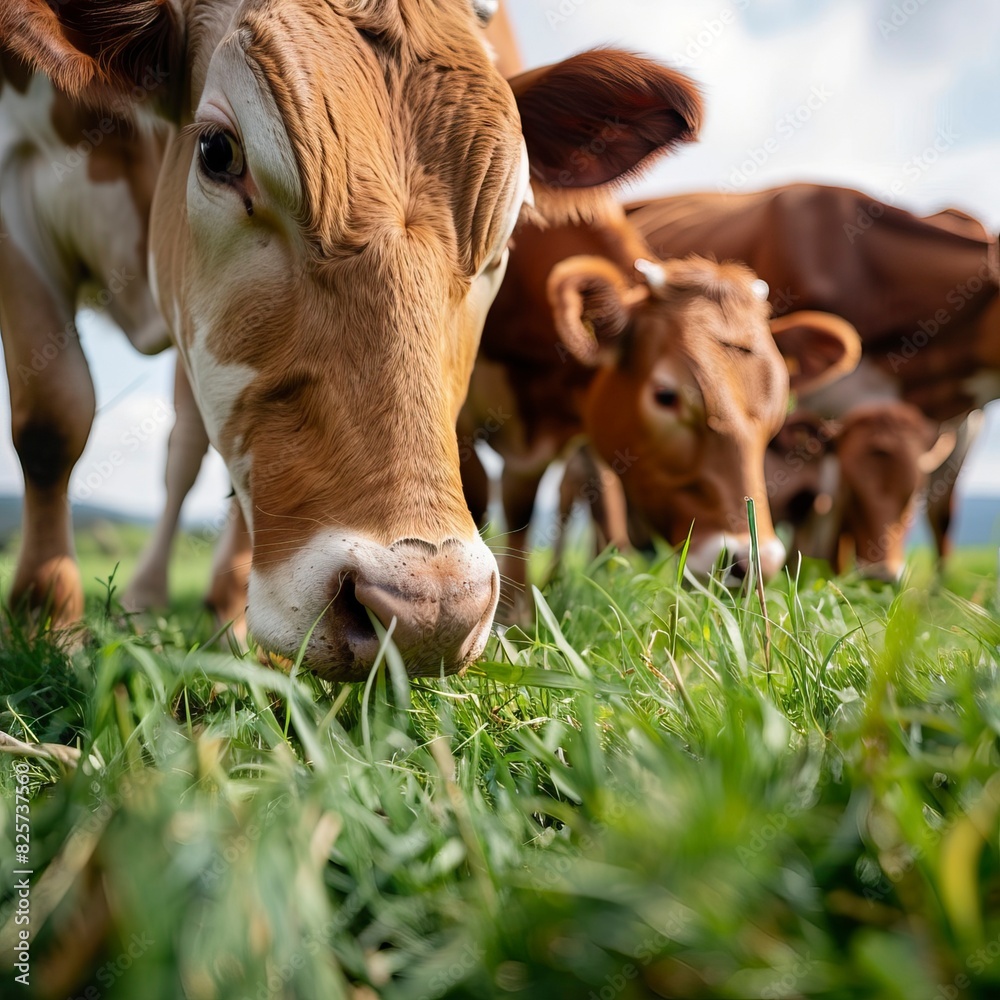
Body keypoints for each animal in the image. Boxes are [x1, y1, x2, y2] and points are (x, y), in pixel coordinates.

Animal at [457, 197, 862, 615]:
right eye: (666, 396)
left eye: (777, 411)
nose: (751, 563)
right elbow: (479, 501)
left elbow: (521, 506)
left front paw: (515, 614)